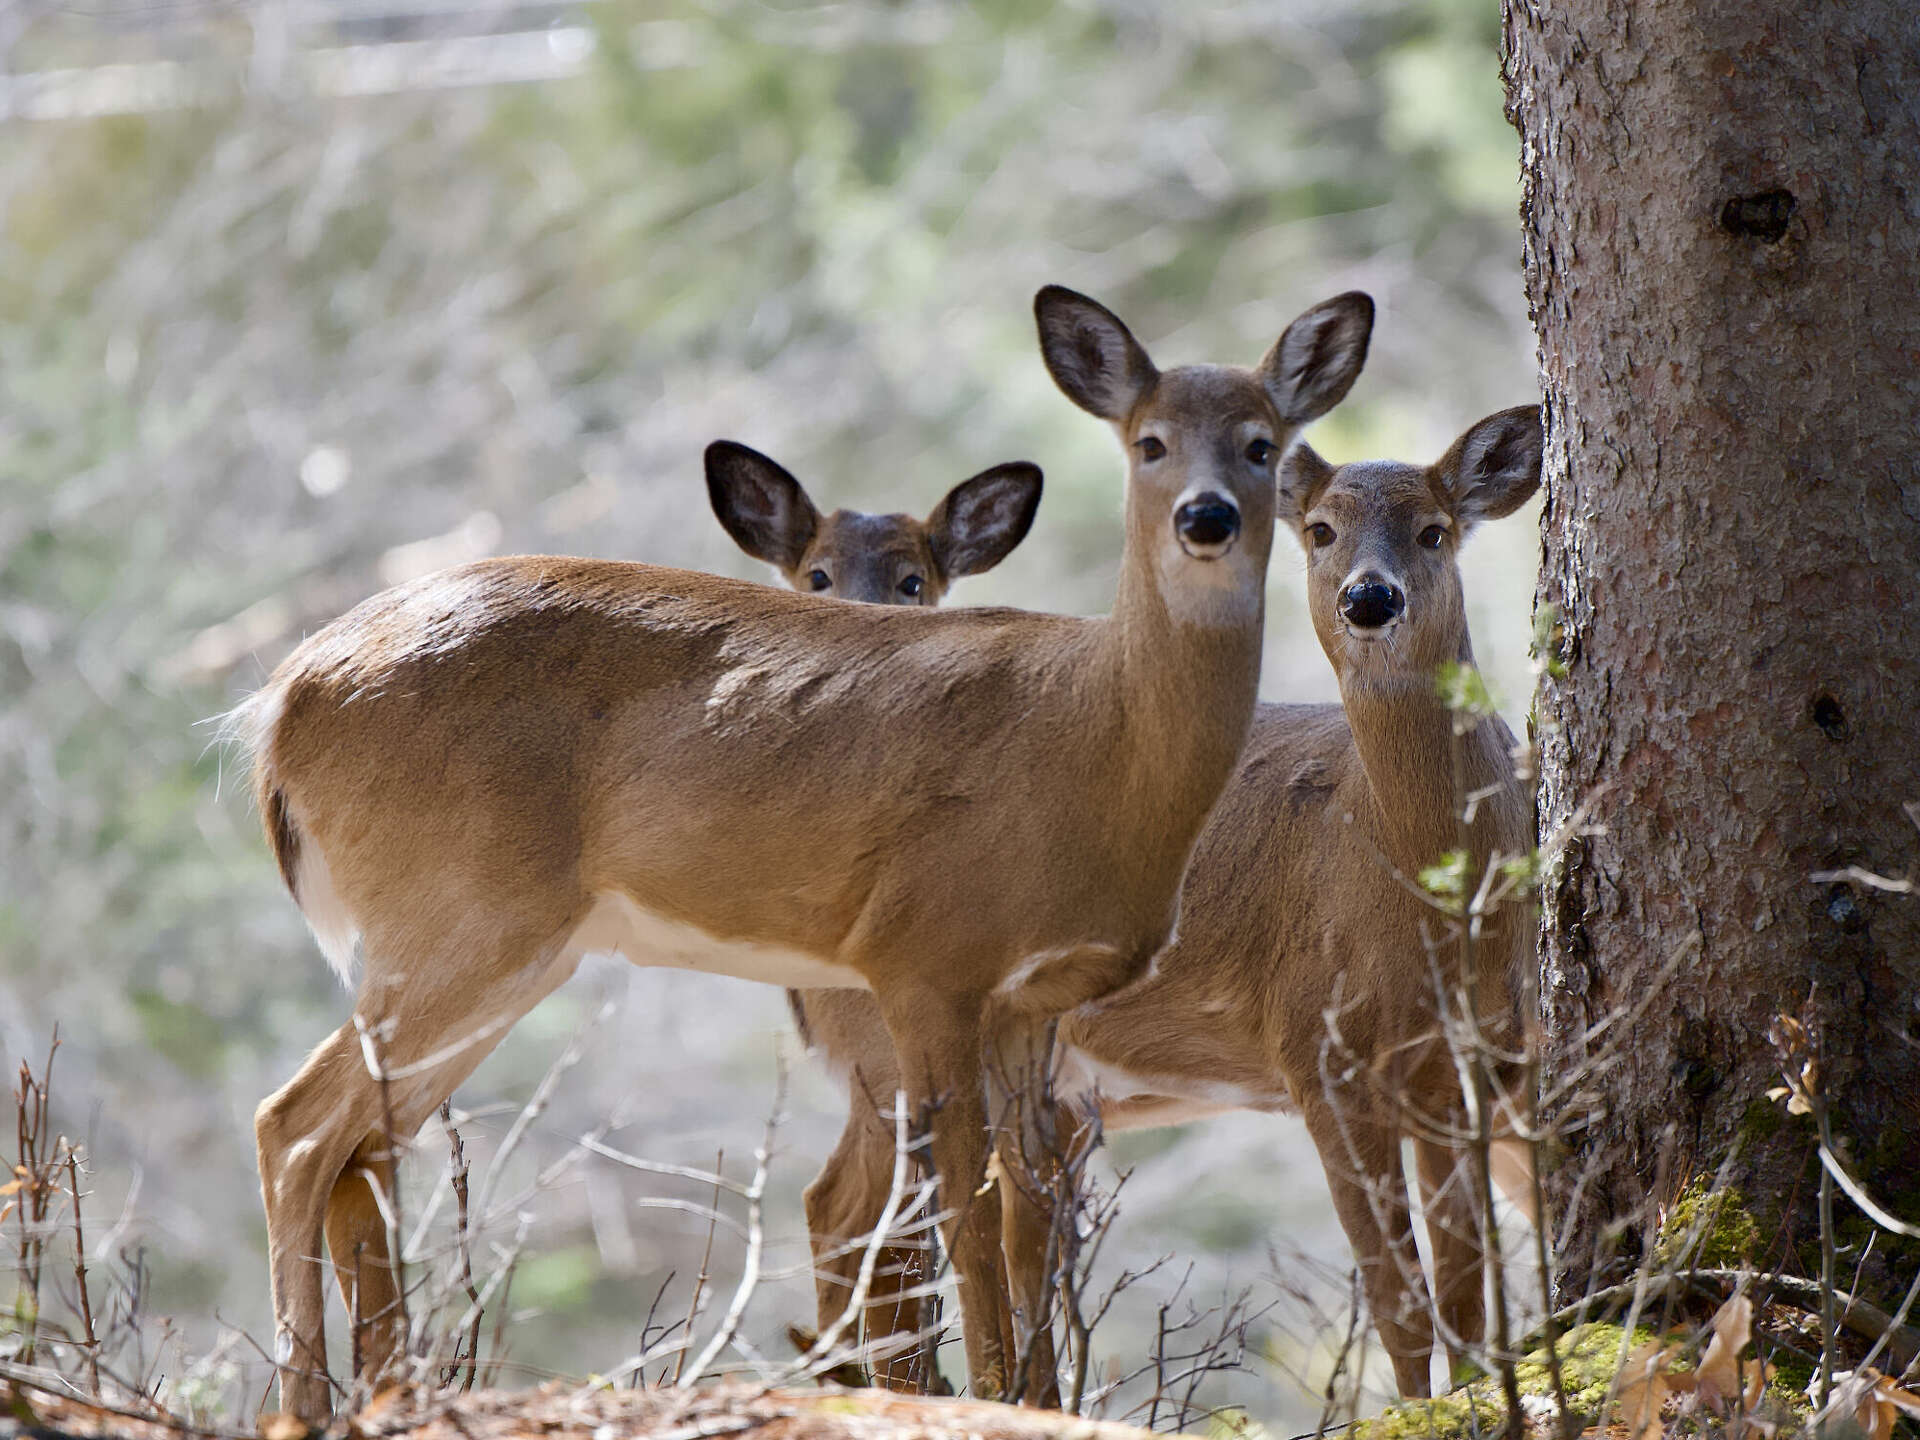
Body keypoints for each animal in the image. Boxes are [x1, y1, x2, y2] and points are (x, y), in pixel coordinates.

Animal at [229, 284, 1375, 1421]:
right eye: (1148, 441)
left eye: (1263, 443)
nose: (1206, 518)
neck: (1096, 736)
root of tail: (284, 699)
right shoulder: (926, 959)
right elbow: (965, 1218)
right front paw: (994, 1396)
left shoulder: (1030, 1002)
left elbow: (1027, 1218)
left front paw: (1042, 1399)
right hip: (456, 919)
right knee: (297, 1126)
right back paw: (303, 1403)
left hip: (497, 948)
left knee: (364, 1146)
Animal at [780, 405, 1544, 1399]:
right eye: (1320, 530)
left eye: (1435, 530)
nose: (1369, 599)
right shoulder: (1316, 1051)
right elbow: (1398, 1300)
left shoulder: (1464, 1073)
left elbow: (1460, 1295)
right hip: (890, 1042)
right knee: (856, 1221)